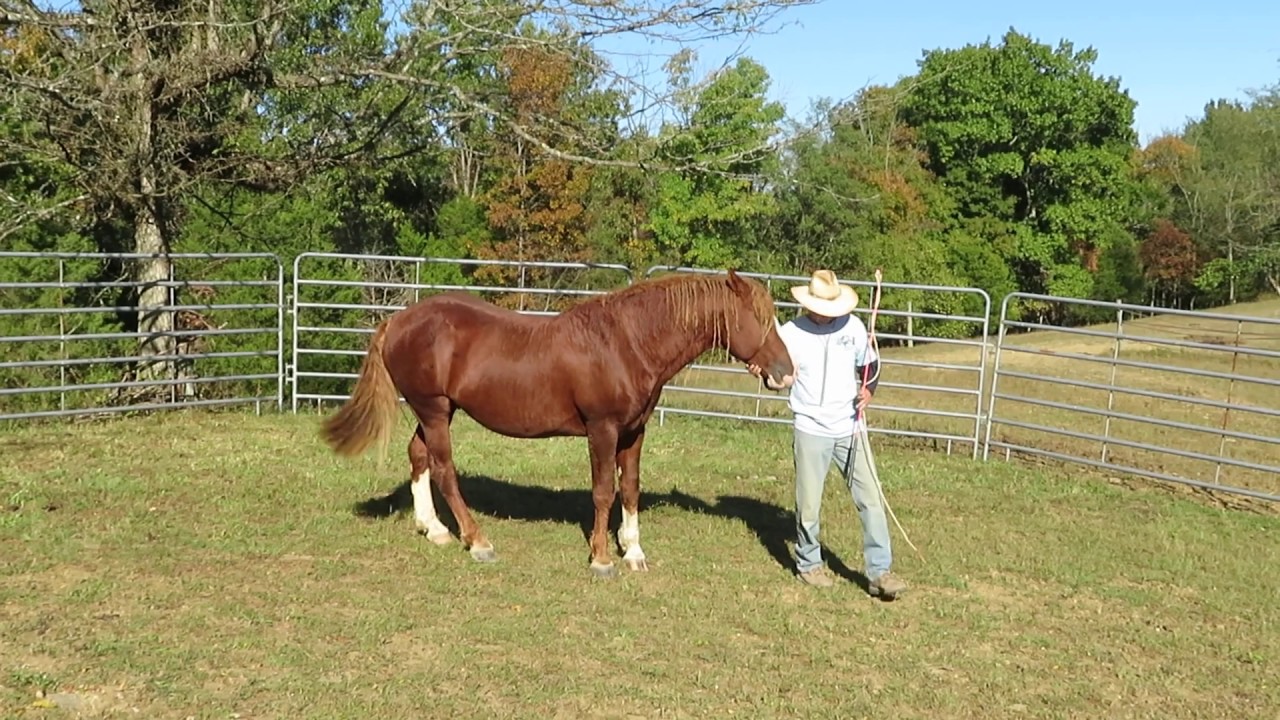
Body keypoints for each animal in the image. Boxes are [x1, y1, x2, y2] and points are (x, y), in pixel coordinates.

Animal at [319, 269, 796, 578]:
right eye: (759, 319)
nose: (786, 373)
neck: (627, 343)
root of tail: (398, 319)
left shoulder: (633, 432)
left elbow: (630, 489)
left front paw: (633, 552)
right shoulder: (602, 430)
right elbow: (603, 492)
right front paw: (601, 559)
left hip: (436, 410)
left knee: (418, 457)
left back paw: (434, 529)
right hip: (434, 410)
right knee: (443, 469)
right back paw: (478, 542)